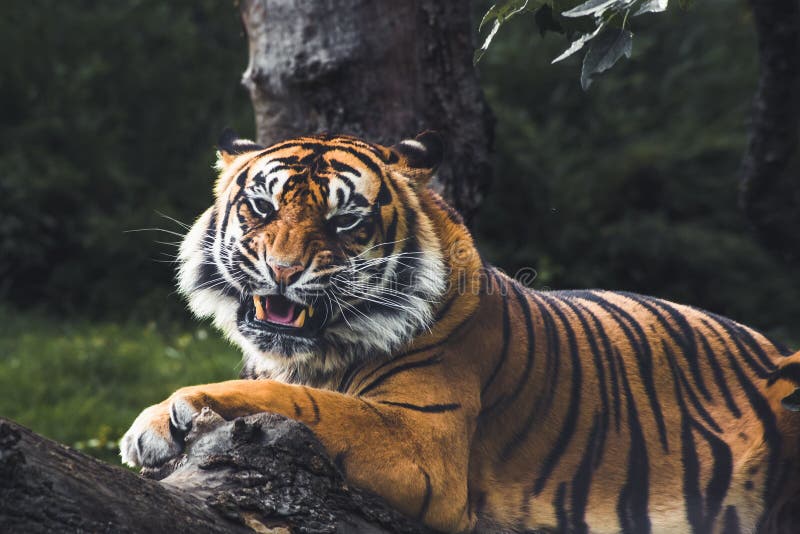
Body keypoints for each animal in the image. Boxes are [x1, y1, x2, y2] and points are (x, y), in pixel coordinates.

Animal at [120, 130, 800, 533]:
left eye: (345, 222)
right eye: (261, 207)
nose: (283, 271)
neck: (309, 355)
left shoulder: (424, 441)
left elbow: (304, 402)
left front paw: (168, 416)